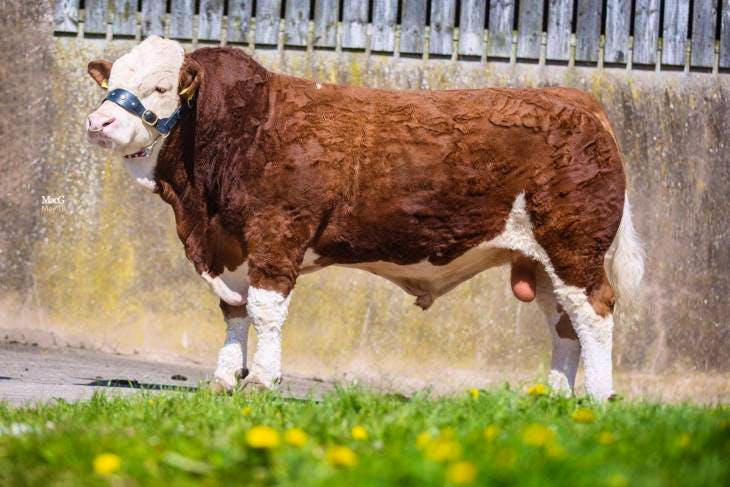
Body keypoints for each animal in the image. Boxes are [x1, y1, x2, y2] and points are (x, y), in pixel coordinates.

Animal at [85, 36, 644, 401]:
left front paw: (262, 380)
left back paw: (597, 400)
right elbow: (233, 312)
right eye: (112, 81)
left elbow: (264, 309)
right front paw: (223, 380)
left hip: (574, 245)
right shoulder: (226, 246)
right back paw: (553, 400)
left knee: (594, 311)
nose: (99, 122)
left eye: (161, 88)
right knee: (563, 322)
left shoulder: (277, 232)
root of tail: (575, 98)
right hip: (544, 260)